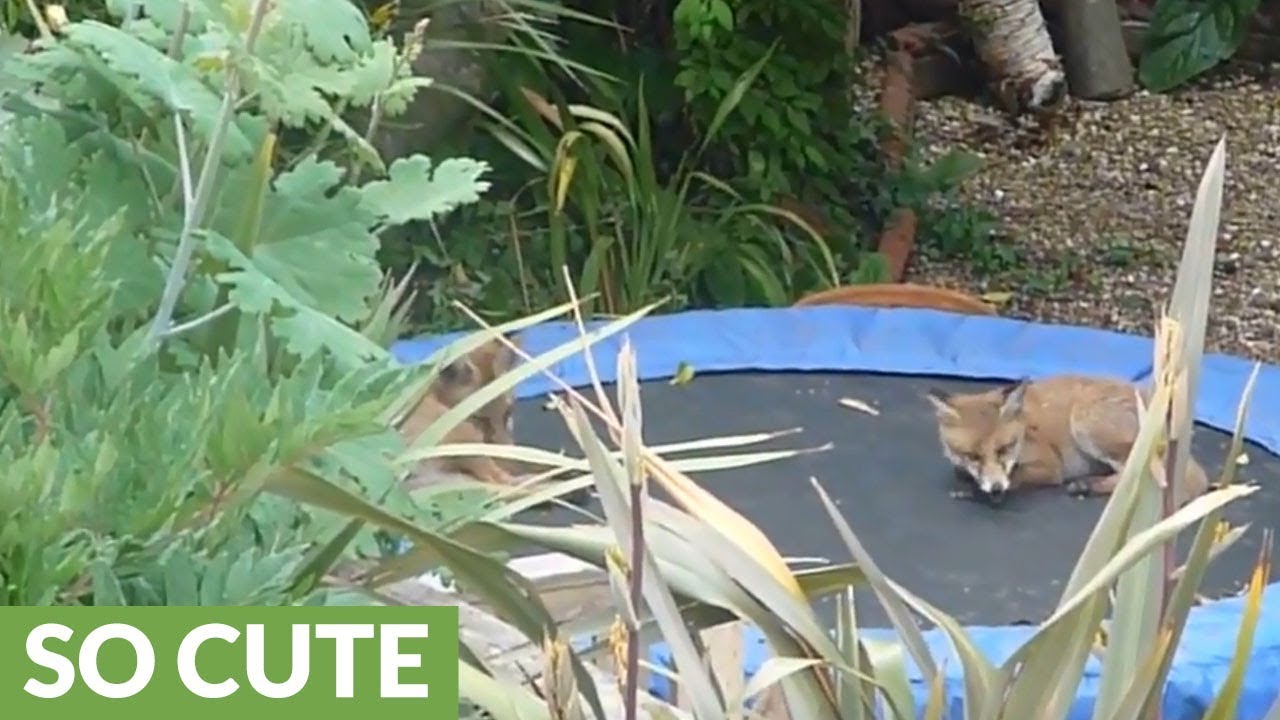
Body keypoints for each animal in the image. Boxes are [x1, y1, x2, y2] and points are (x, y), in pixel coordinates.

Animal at [924, 374, 1213, 506]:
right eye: (973, 455)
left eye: (1004, 448)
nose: (995, 489)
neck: (1024, 430)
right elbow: (963, 472)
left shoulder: (1050, 466)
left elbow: (1017, 477)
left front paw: (980, 491)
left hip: (1085, 421)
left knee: (1137, 477)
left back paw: (1088, 486)